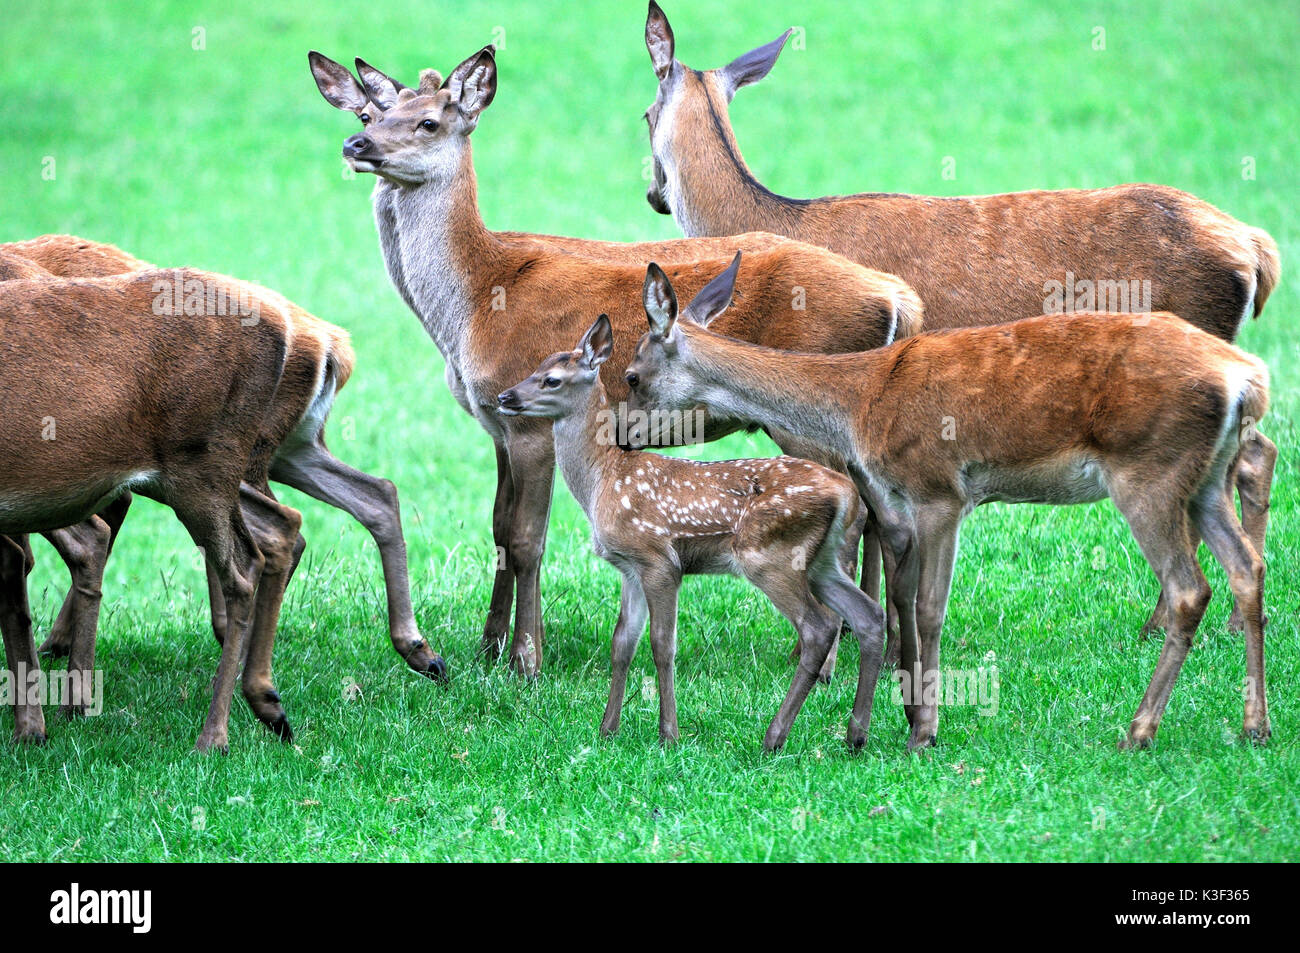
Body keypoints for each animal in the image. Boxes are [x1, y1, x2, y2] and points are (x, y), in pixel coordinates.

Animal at [0, 235, 447, 684]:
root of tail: (334, 345)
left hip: (234, 455)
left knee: (276, 533)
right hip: (289, 447)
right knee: (376, 493)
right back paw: (421, 651)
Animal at [0, 269, 308, 751]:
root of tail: (285, 325)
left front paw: (31, 729)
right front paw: (32, 728)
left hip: (203, 466)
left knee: (243, 567)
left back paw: (213, 735)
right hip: (183, 478)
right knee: (281, 526)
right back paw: (267, 706)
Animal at [308, 46, 922, 677]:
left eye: (428, 121)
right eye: (372, 114)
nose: (357, 145)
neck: (473, 305)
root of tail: (896, 297)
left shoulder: (529, 421)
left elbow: (527, 538)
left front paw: (527, 661)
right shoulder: (497, 418)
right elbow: (499, 527)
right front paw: (489, 646)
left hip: (807, 413)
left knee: (859, 516)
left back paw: (825, 655)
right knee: (881, 516)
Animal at [497, 313, 885, 749]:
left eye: (552, 380)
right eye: (535, 368)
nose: (505, 397)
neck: (603, 480)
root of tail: (847, 494)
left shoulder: (659, 559)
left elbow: (662, 645)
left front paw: (669, 734)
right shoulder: (629, 567)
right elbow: (622, 643)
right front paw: (607, 729)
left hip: (770, 555)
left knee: (818, 627)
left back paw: (774, 736)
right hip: (820, 562)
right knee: (869, 616)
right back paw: (855, 736)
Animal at [624, 257, 1271, 753]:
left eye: (630, 375)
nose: (622, 436)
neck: (860, 403)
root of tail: (1247, 379)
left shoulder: (940, 489)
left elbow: (931, 607)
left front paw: (924, 732)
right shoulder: (904, 502)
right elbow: (901, 597)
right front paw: (903, 714)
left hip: (1148, 471)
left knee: (1190, 587)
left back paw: (1139, 731)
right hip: (1203, 479)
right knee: (1246, 567)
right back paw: (1255, 725)